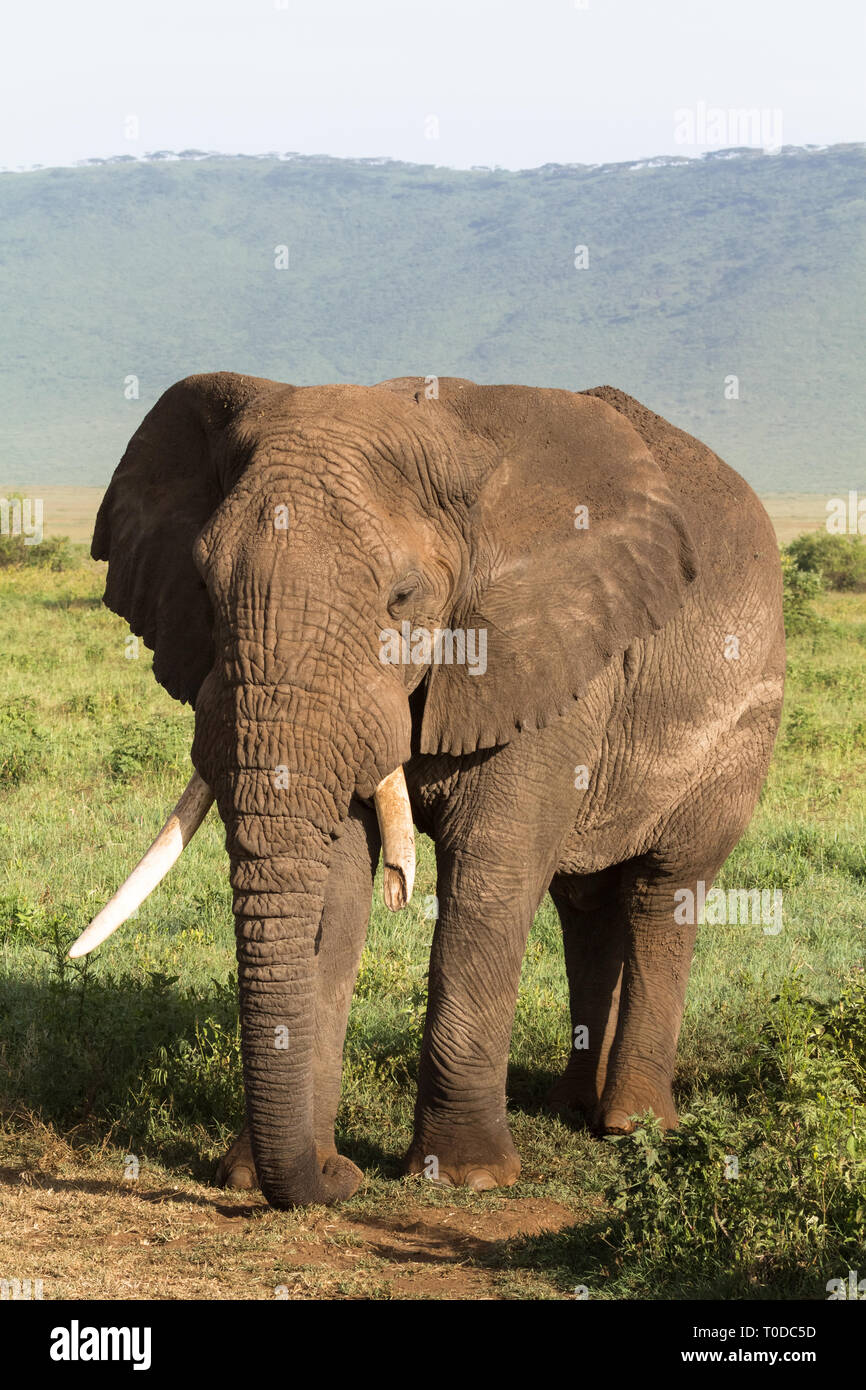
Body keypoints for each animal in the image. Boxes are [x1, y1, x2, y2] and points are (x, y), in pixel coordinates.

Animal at [70, 373, 785, 1209]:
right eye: (208, 590)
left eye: (402, 598)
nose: (338, 1183)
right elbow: (336, 879)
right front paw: (261, 1174)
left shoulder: (549, 654)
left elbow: (492, 872)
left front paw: (467, 1177)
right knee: (585, 905)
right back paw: (569, 1108)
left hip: (743, 716)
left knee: (662, 889)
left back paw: (631, 1127)